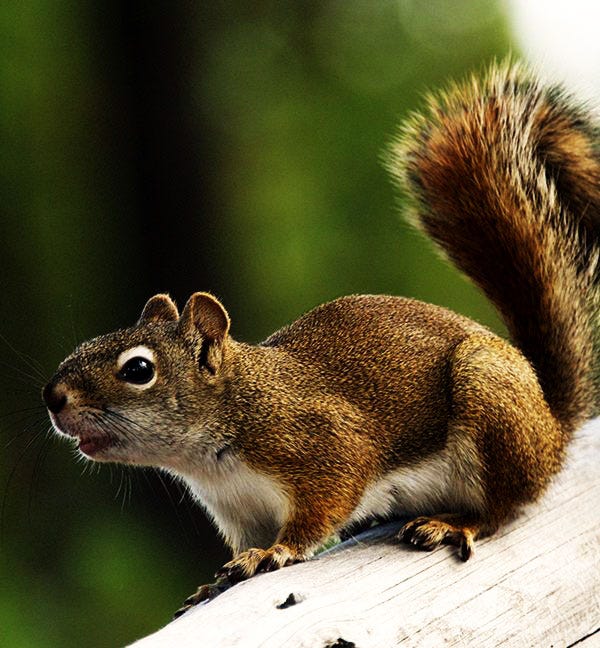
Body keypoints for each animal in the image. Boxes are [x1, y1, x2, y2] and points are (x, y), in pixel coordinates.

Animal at [43, 62, 600, 616]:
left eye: (138, 369)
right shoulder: (241, 510)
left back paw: (454, 523)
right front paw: (213, 585)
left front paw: (276, 552)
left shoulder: (323, 445)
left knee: (504, 508)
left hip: (489, 400)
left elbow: (321, 509)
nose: (52, 397)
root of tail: (550, 424)